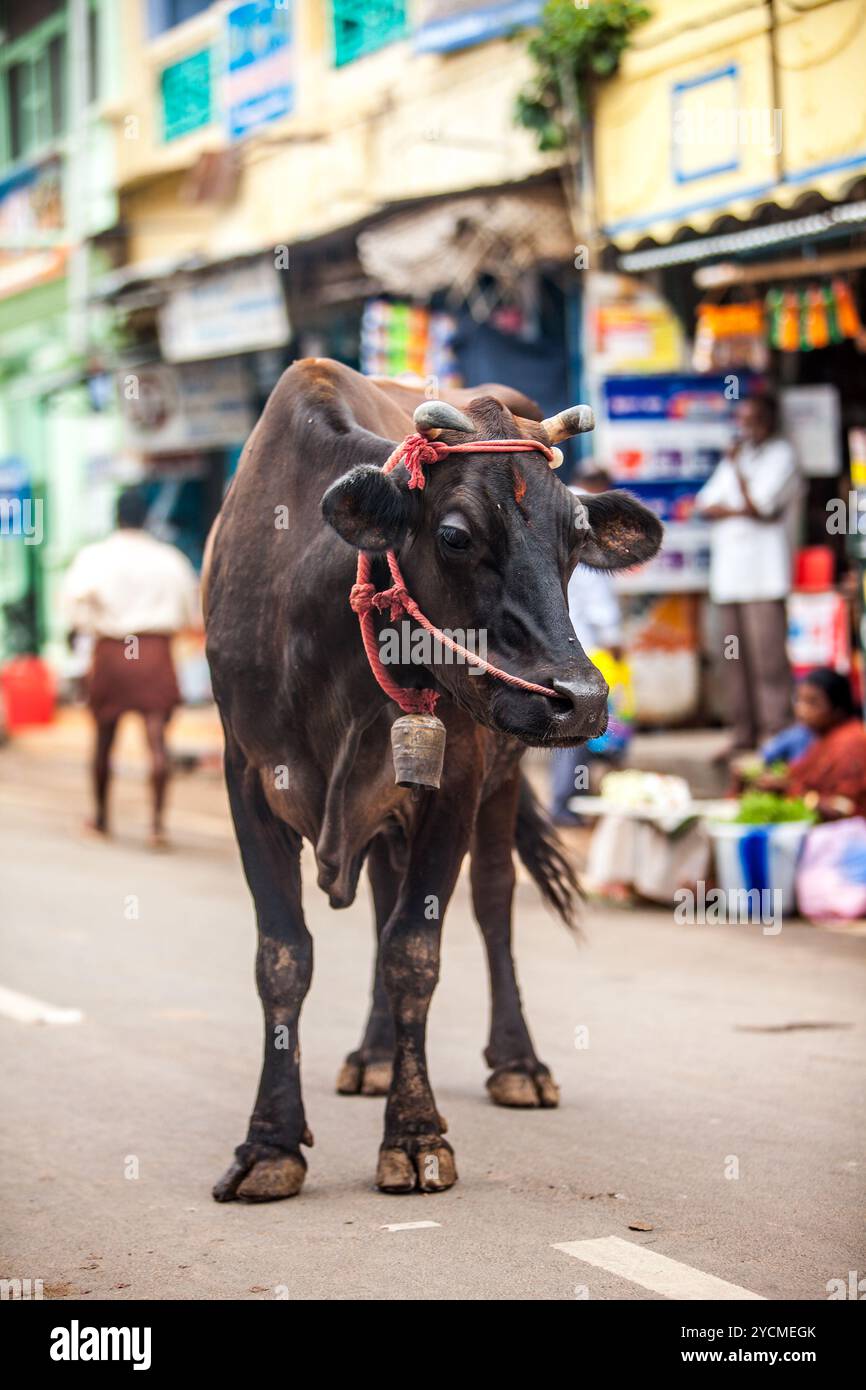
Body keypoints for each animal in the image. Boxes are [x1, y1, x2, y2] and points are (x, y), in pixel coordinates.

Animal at [204, 358, 662, 1201]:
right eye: (454, 535)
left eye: (577, 540)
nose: (579, 698)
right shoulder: (247, 777)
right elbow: (282, 957)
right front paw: (270, 1144)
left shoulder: (457, 780)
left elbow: (414, 953)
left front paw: (414, 1135)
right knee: (386, 899)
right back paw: (375, 1056)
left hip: (499, 783)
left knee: (492, 905)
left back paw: (517, 1062)